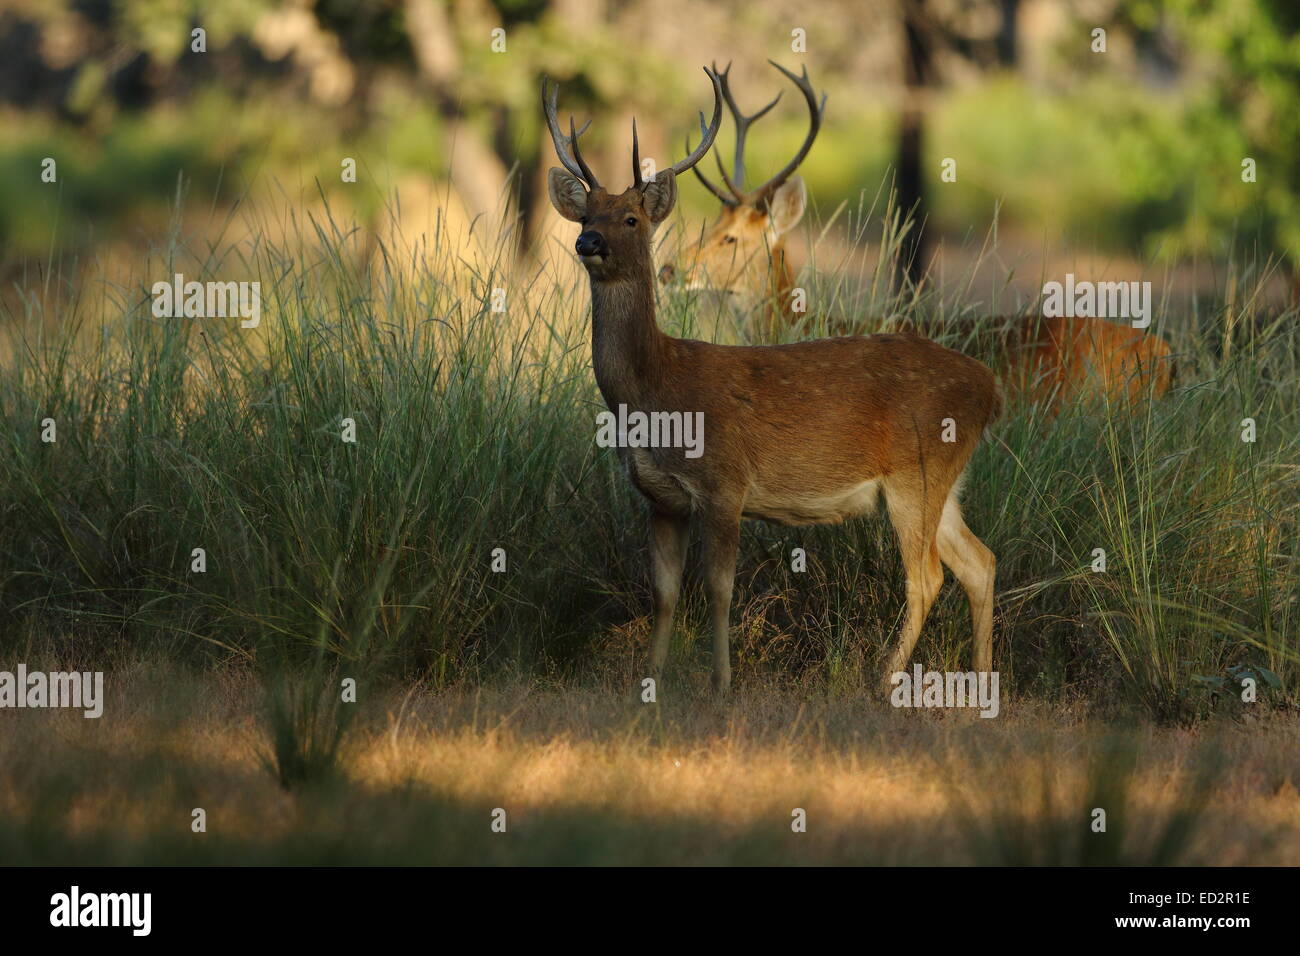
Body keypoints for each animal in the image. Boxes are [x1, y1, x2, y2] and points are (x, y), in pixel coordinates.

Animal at [543, 67, 1001, 694]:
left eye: (631, 218)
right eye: (587, 214)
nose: (588, 242)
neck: (655, 390)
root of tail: (990, 386)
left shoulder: (725, 483)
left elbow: (718, 590)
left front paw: (721, 685)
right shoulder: (661, 500)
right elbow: (664, 594)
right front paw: (651, 683)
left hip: (917, 471)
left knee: (926, 575)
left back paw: (883, 680)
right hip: (946, 482)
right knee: (980, 561)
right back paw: (981, 685)